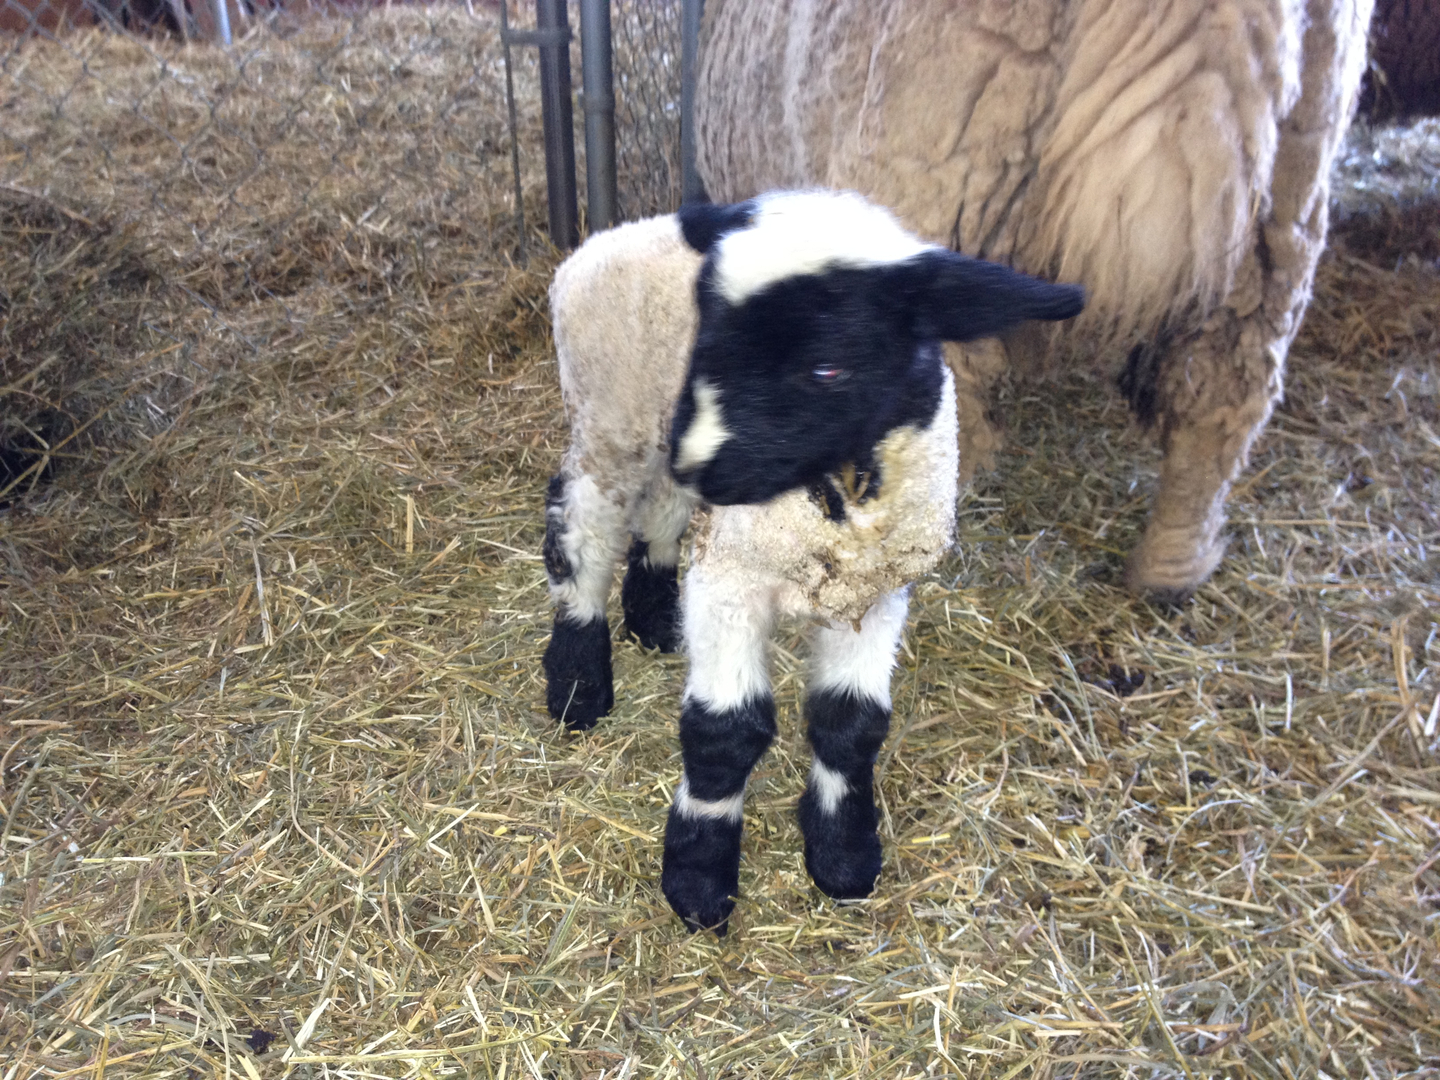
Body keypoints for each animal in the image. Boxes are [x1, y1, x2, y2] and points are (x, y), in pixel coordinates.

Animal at [542, 189, 1083, 932]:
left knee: (662, 510)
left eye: (829, 367)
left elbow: (851, 725)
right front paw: (699, 876)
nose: (699, 459)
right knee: (581, 532)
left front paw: (843, 854)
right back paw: (578, 679)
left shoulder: (875, 592)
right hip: (611, 423)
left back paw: (653, 618)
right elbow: (724, 731)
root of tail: (595, 246)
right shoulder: (733, 582)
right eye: (709, 340)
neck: (839, 489)